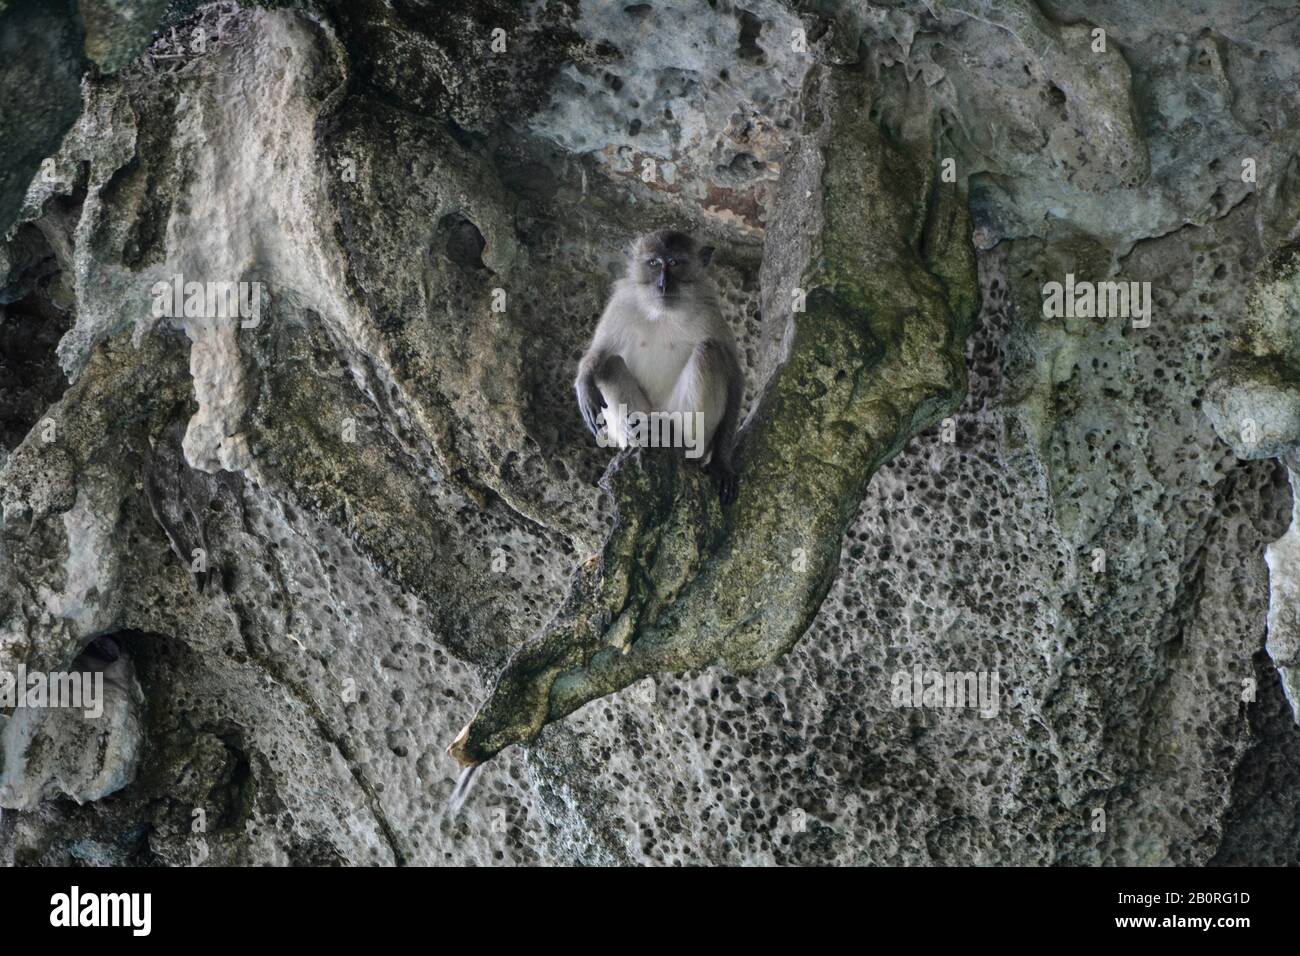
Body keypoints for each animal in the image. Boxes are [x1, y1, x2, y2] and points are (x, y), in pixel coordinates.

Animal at [574, 229, 743, 504]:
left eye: (674, 263)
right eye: (654, 263)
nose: (663, 284)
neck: (663, 311)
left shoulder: (709, 309)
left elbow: (734, 373)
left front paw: (721, 463)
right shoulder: (621, 302)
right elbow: (600, 352)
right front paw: (584, 384)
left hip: (682, 417)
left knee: (709, 351)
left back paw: (679, 442)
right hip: (645, 412)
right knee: (610, 365)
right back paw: (643, 439)